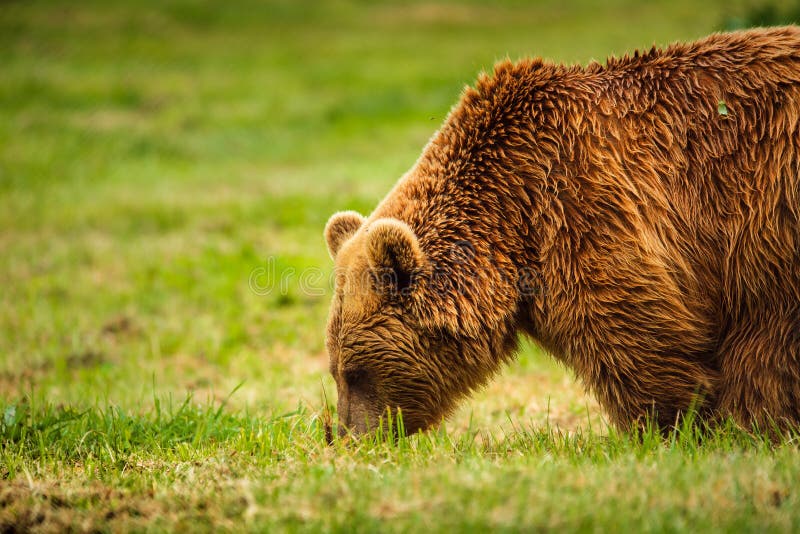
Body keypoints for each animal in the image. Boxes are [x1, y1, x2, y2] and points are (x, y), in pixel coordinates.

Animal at [324, 26, 800, 437]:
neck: (508, 213)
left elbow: (630, 327)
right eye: (335, 369)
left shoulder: (582, 203)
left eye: (356, 372)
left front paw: (676, 425)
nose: (347, 435)